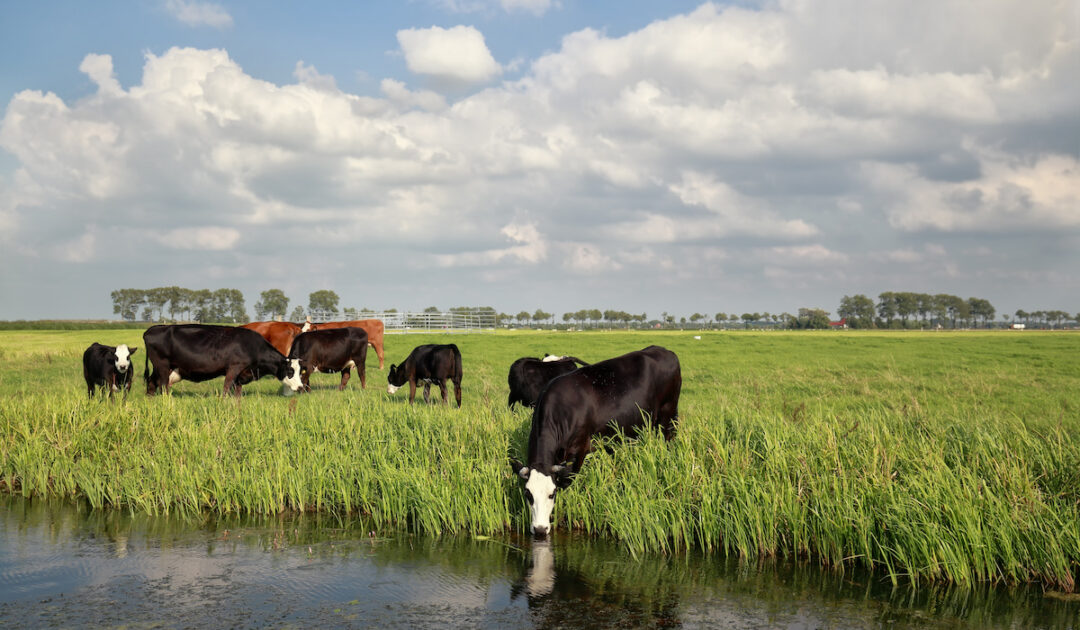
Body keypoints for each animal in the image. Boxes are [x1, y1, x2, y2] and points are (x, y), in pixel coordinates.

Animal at [143, 324, 303, 397]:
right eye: (290, 371)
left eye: (300, 371)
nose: (301, 387)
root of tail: (152, 329)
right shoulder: (234, 368)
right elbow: (226, 388)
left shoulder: (241, 375)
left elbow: (237, 392)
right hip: (162, 366)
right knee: (163, 386)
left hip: (161, 368)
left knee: (151, 383)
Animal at [509, 345, 681, 538]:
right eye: (528, 494)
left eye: (552, 494)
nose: (539, 529)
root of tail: (663, 350)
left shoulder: (580, 450)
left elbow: (570, 479)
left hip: (668, 417)